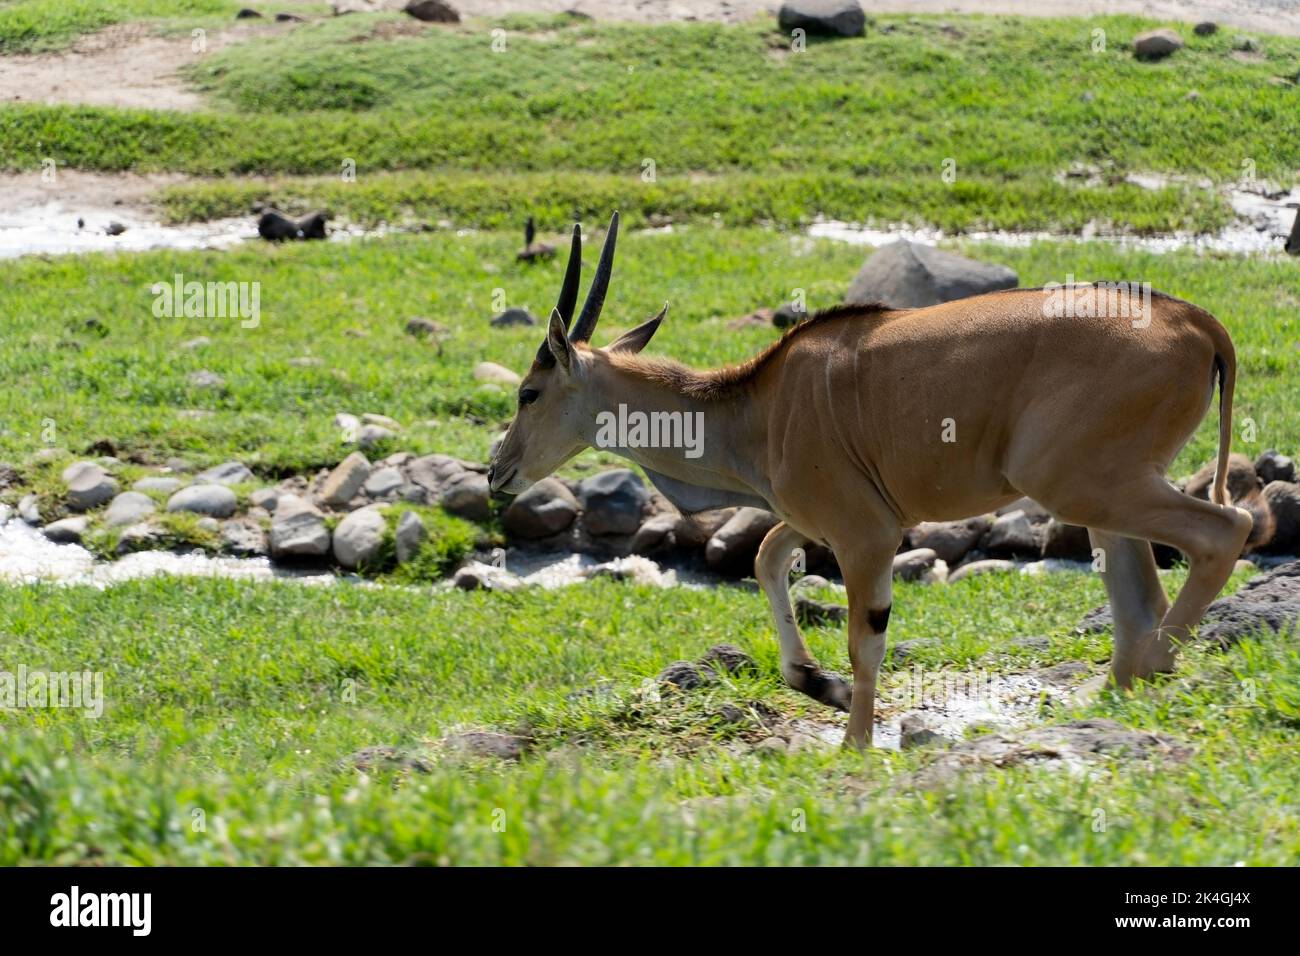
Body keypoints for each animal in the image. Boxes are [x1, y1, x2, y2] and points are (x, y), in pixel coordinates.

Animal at [488, 212, 1256, 749]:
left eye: (529, 391)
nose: (496, 470)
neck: (758, 401)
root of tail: (1198, 324)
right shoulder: (821, 521)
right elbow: (766, 558)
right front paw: (814, 684)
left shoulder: (866, 536)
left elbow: (865, 640)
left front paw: (854, 739)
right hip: (1104, 497)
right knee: (1140, 602)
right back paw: (1119, 694)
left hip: (1081, 484)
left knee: (1226, 531)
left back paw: (1156, 665)